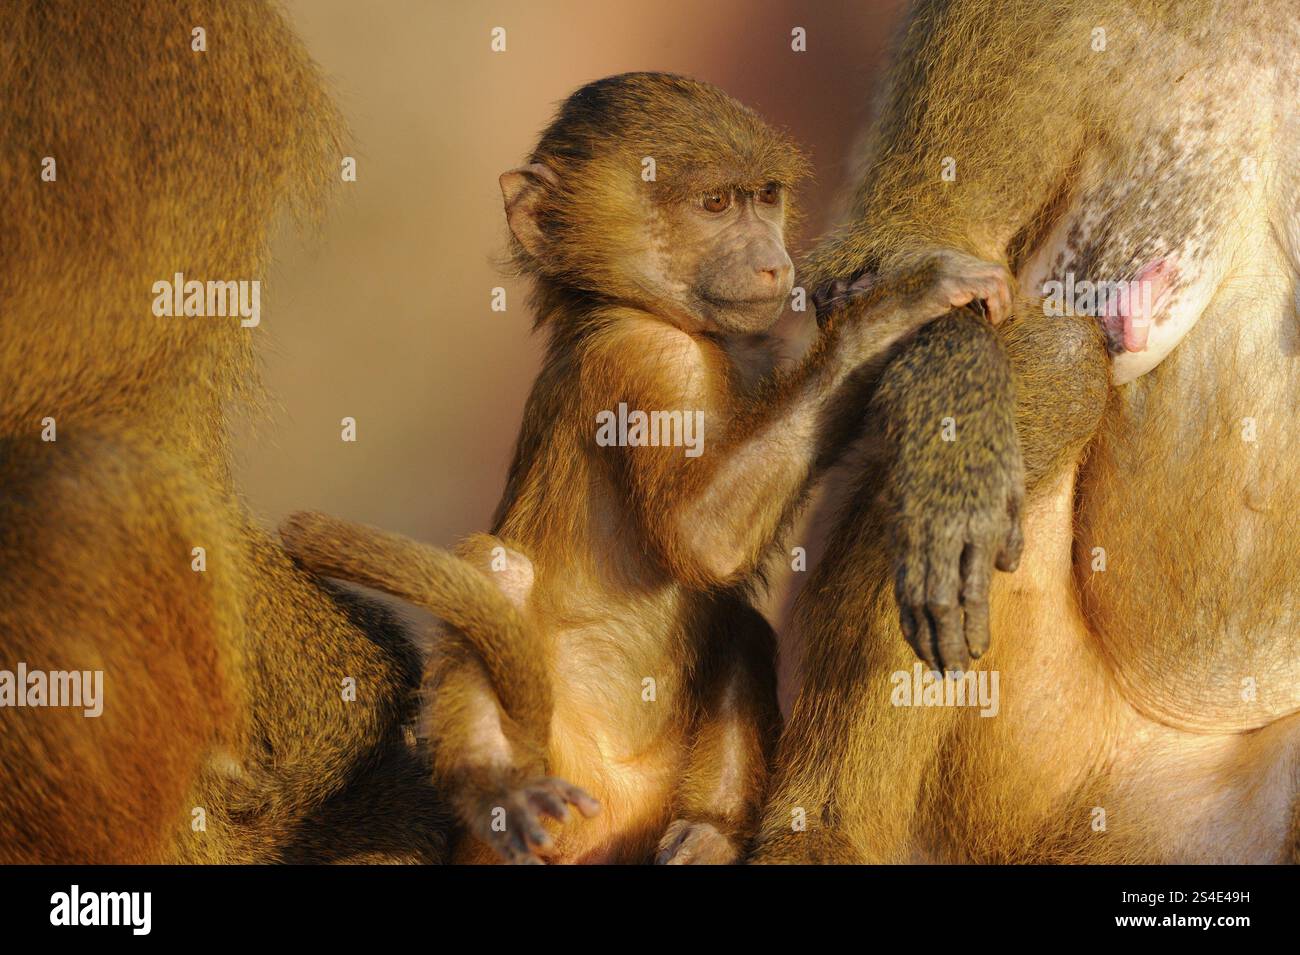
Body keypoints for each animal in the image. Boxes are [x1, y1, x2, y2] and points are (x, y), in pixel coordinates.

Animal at [277, 72, 1009, 864]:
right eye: (714, 202)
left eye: (765, 195)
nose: (773, 262)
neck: (626, 306)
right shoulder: (646, 359)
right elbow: (703, 540)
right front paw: (892, 309)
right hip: (565, 772)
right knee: (501, 572)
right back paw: (498, 788)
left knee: (733, 623)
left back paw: (710, 832)